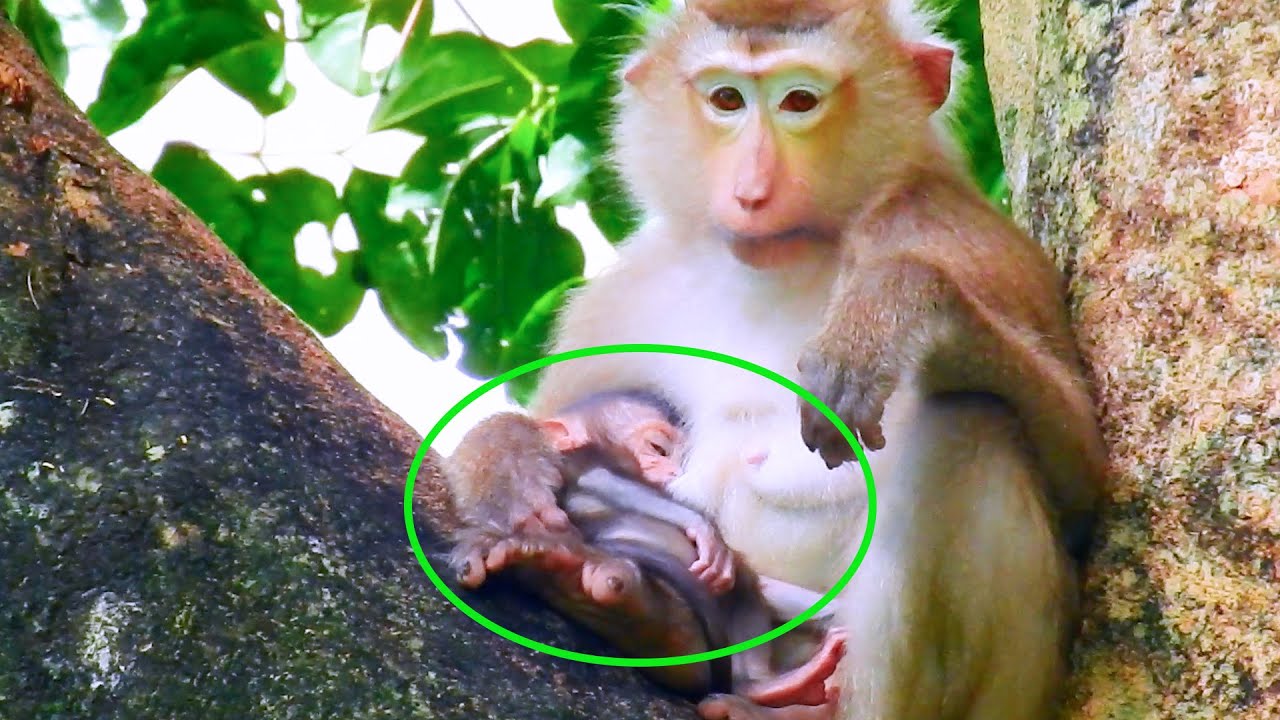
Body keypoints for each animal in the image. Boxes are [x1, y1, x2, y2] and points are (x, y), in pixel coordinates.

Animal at [444, 395, 847, 711]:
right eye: (658, 448)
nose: (670, 471)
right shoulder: (596, 456)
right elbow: (609, 482)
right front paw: (704, 531)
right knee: (742, 584)